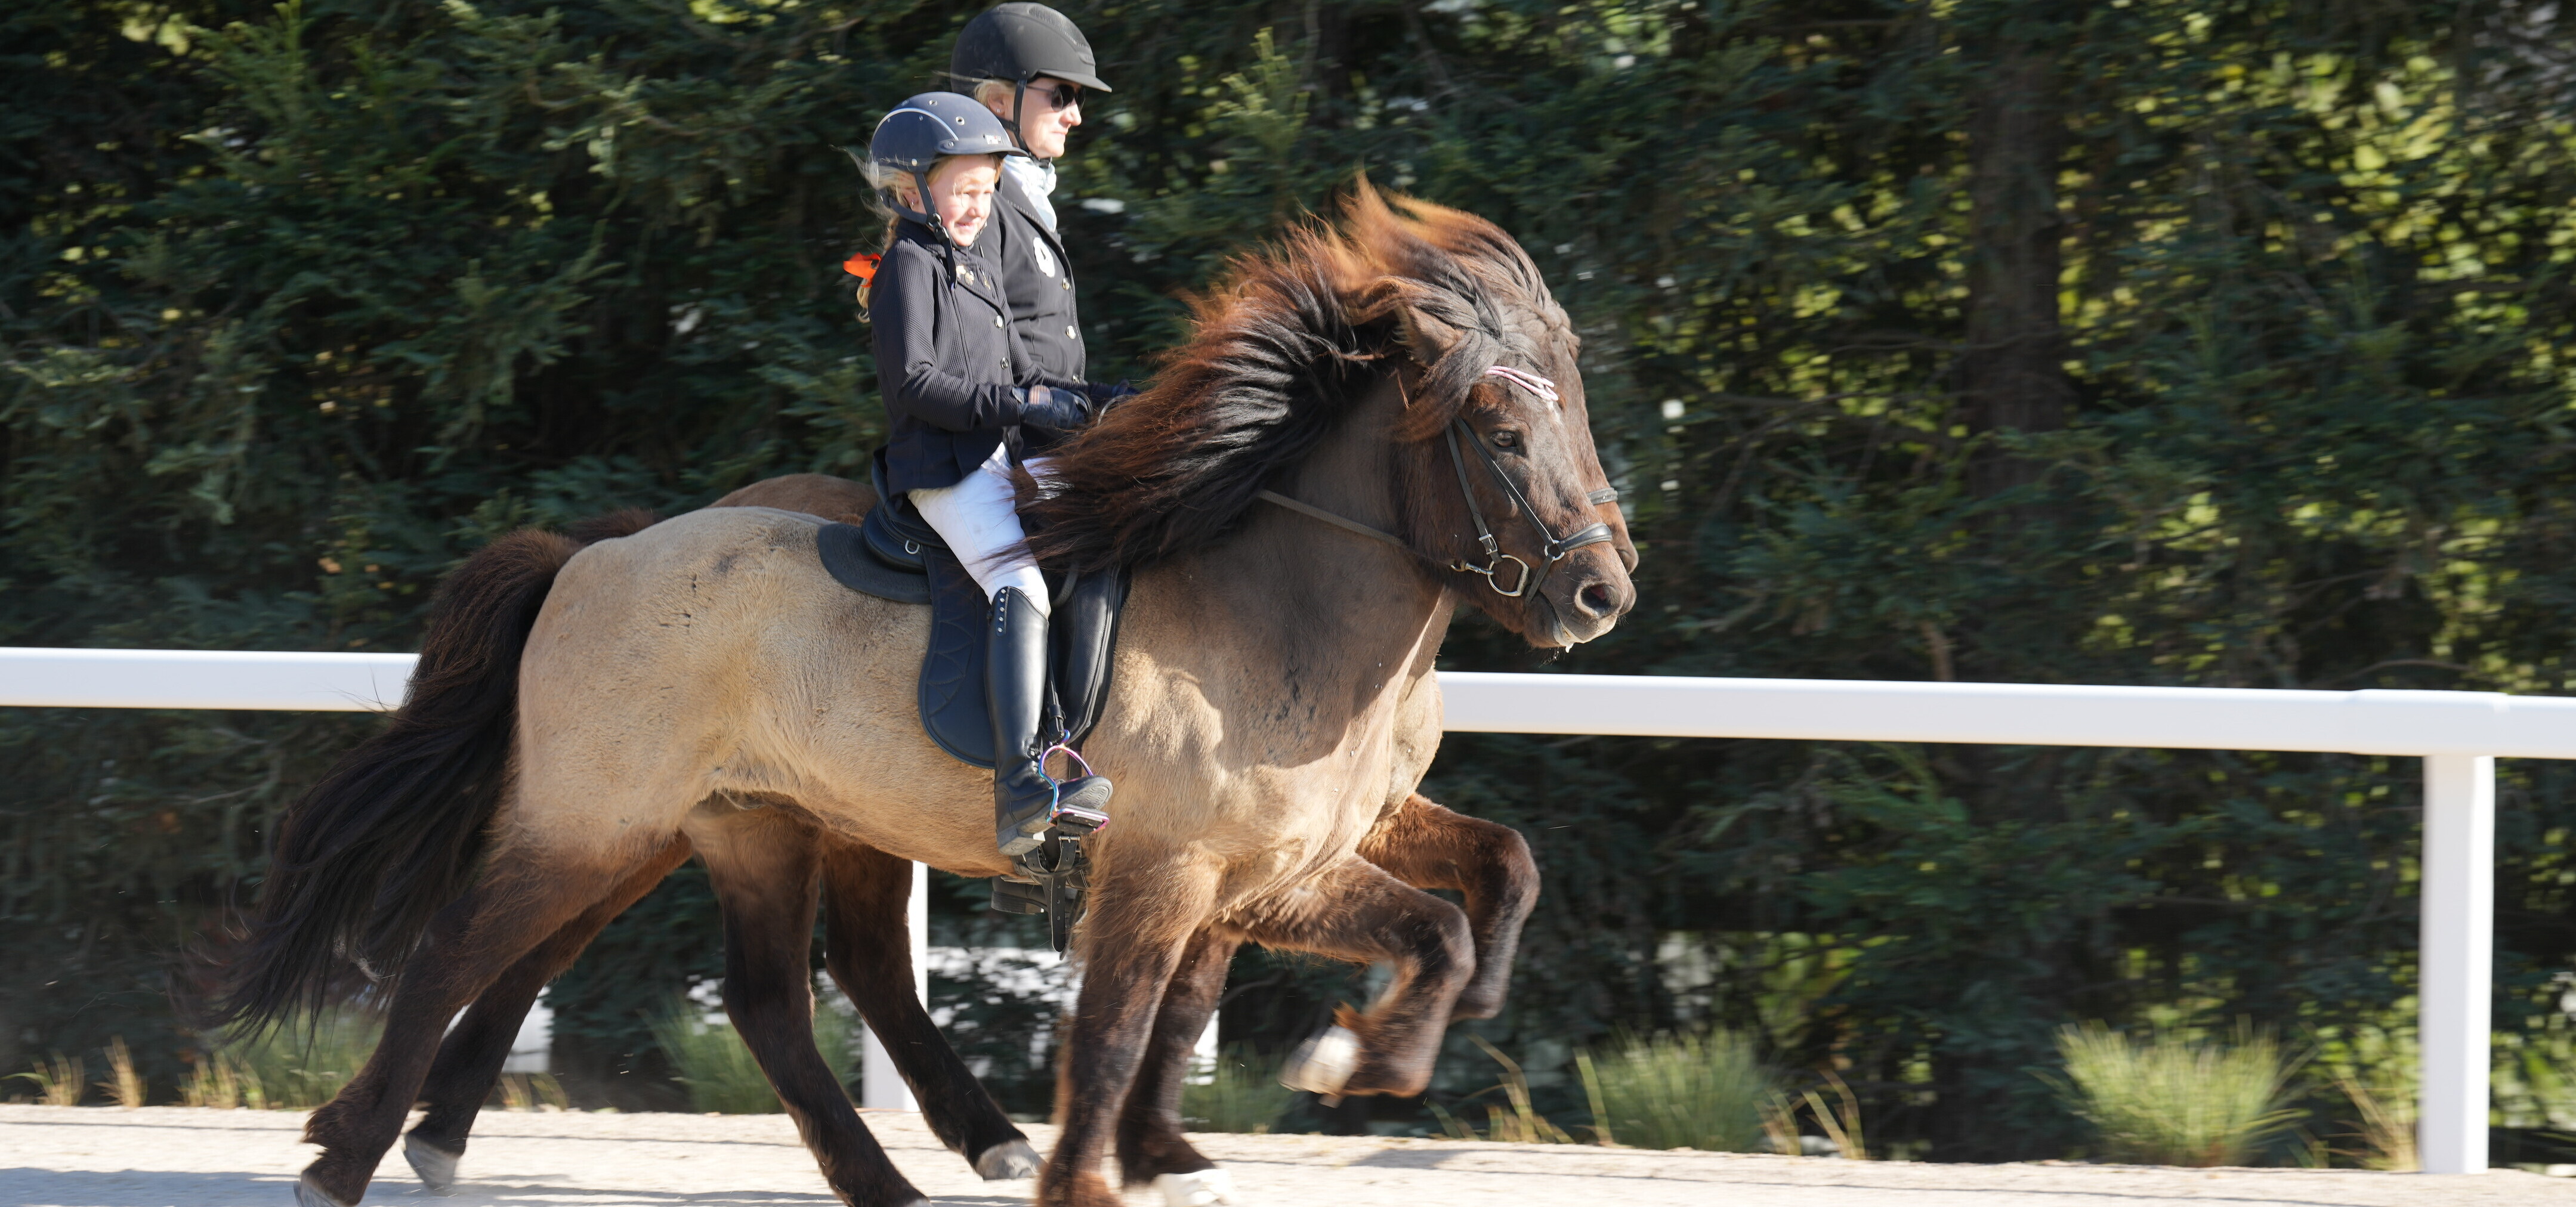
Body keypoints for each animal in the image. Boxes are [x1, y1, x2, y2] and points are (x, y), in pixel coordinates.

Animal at [385, 472, 1553, 1207]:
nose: (1586, 587)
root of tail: (615, 546)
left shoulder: (1312, 839)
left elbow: (1500, 860)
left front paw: (1173, 1144)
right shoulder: (1207, 858)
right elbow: (1163, 999)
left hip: (724, 820)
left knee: (712, 969)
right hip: (652, 814)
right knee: (599, 947)